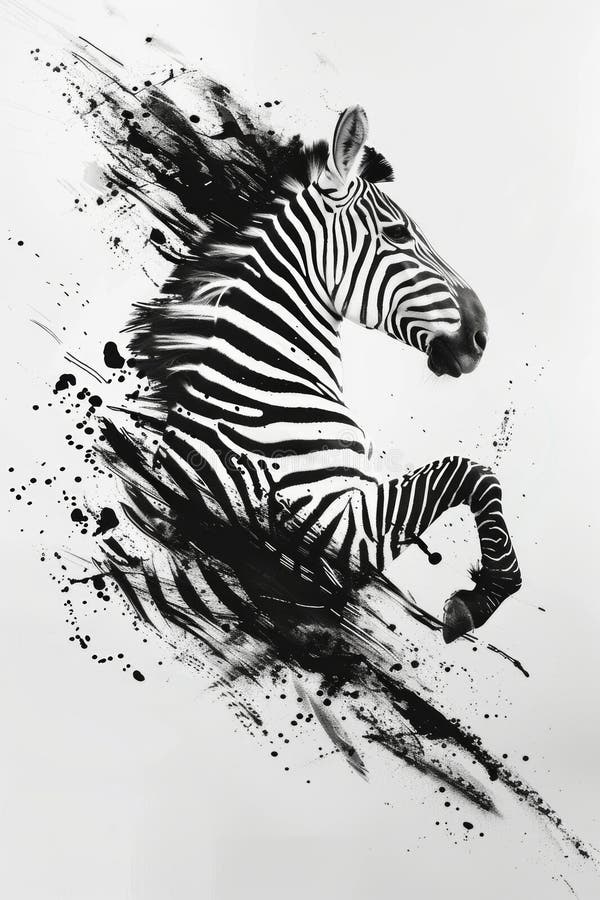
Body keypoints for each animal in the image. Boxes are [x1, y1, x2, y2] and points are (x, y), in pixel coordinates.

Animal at [127, 104, 522, 644]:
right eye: (397, 234)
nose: (483, 337)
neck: (256, 385)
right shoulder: (330, 531)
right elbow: (470, 473)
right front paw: (480, 599)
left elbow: (469, 474)